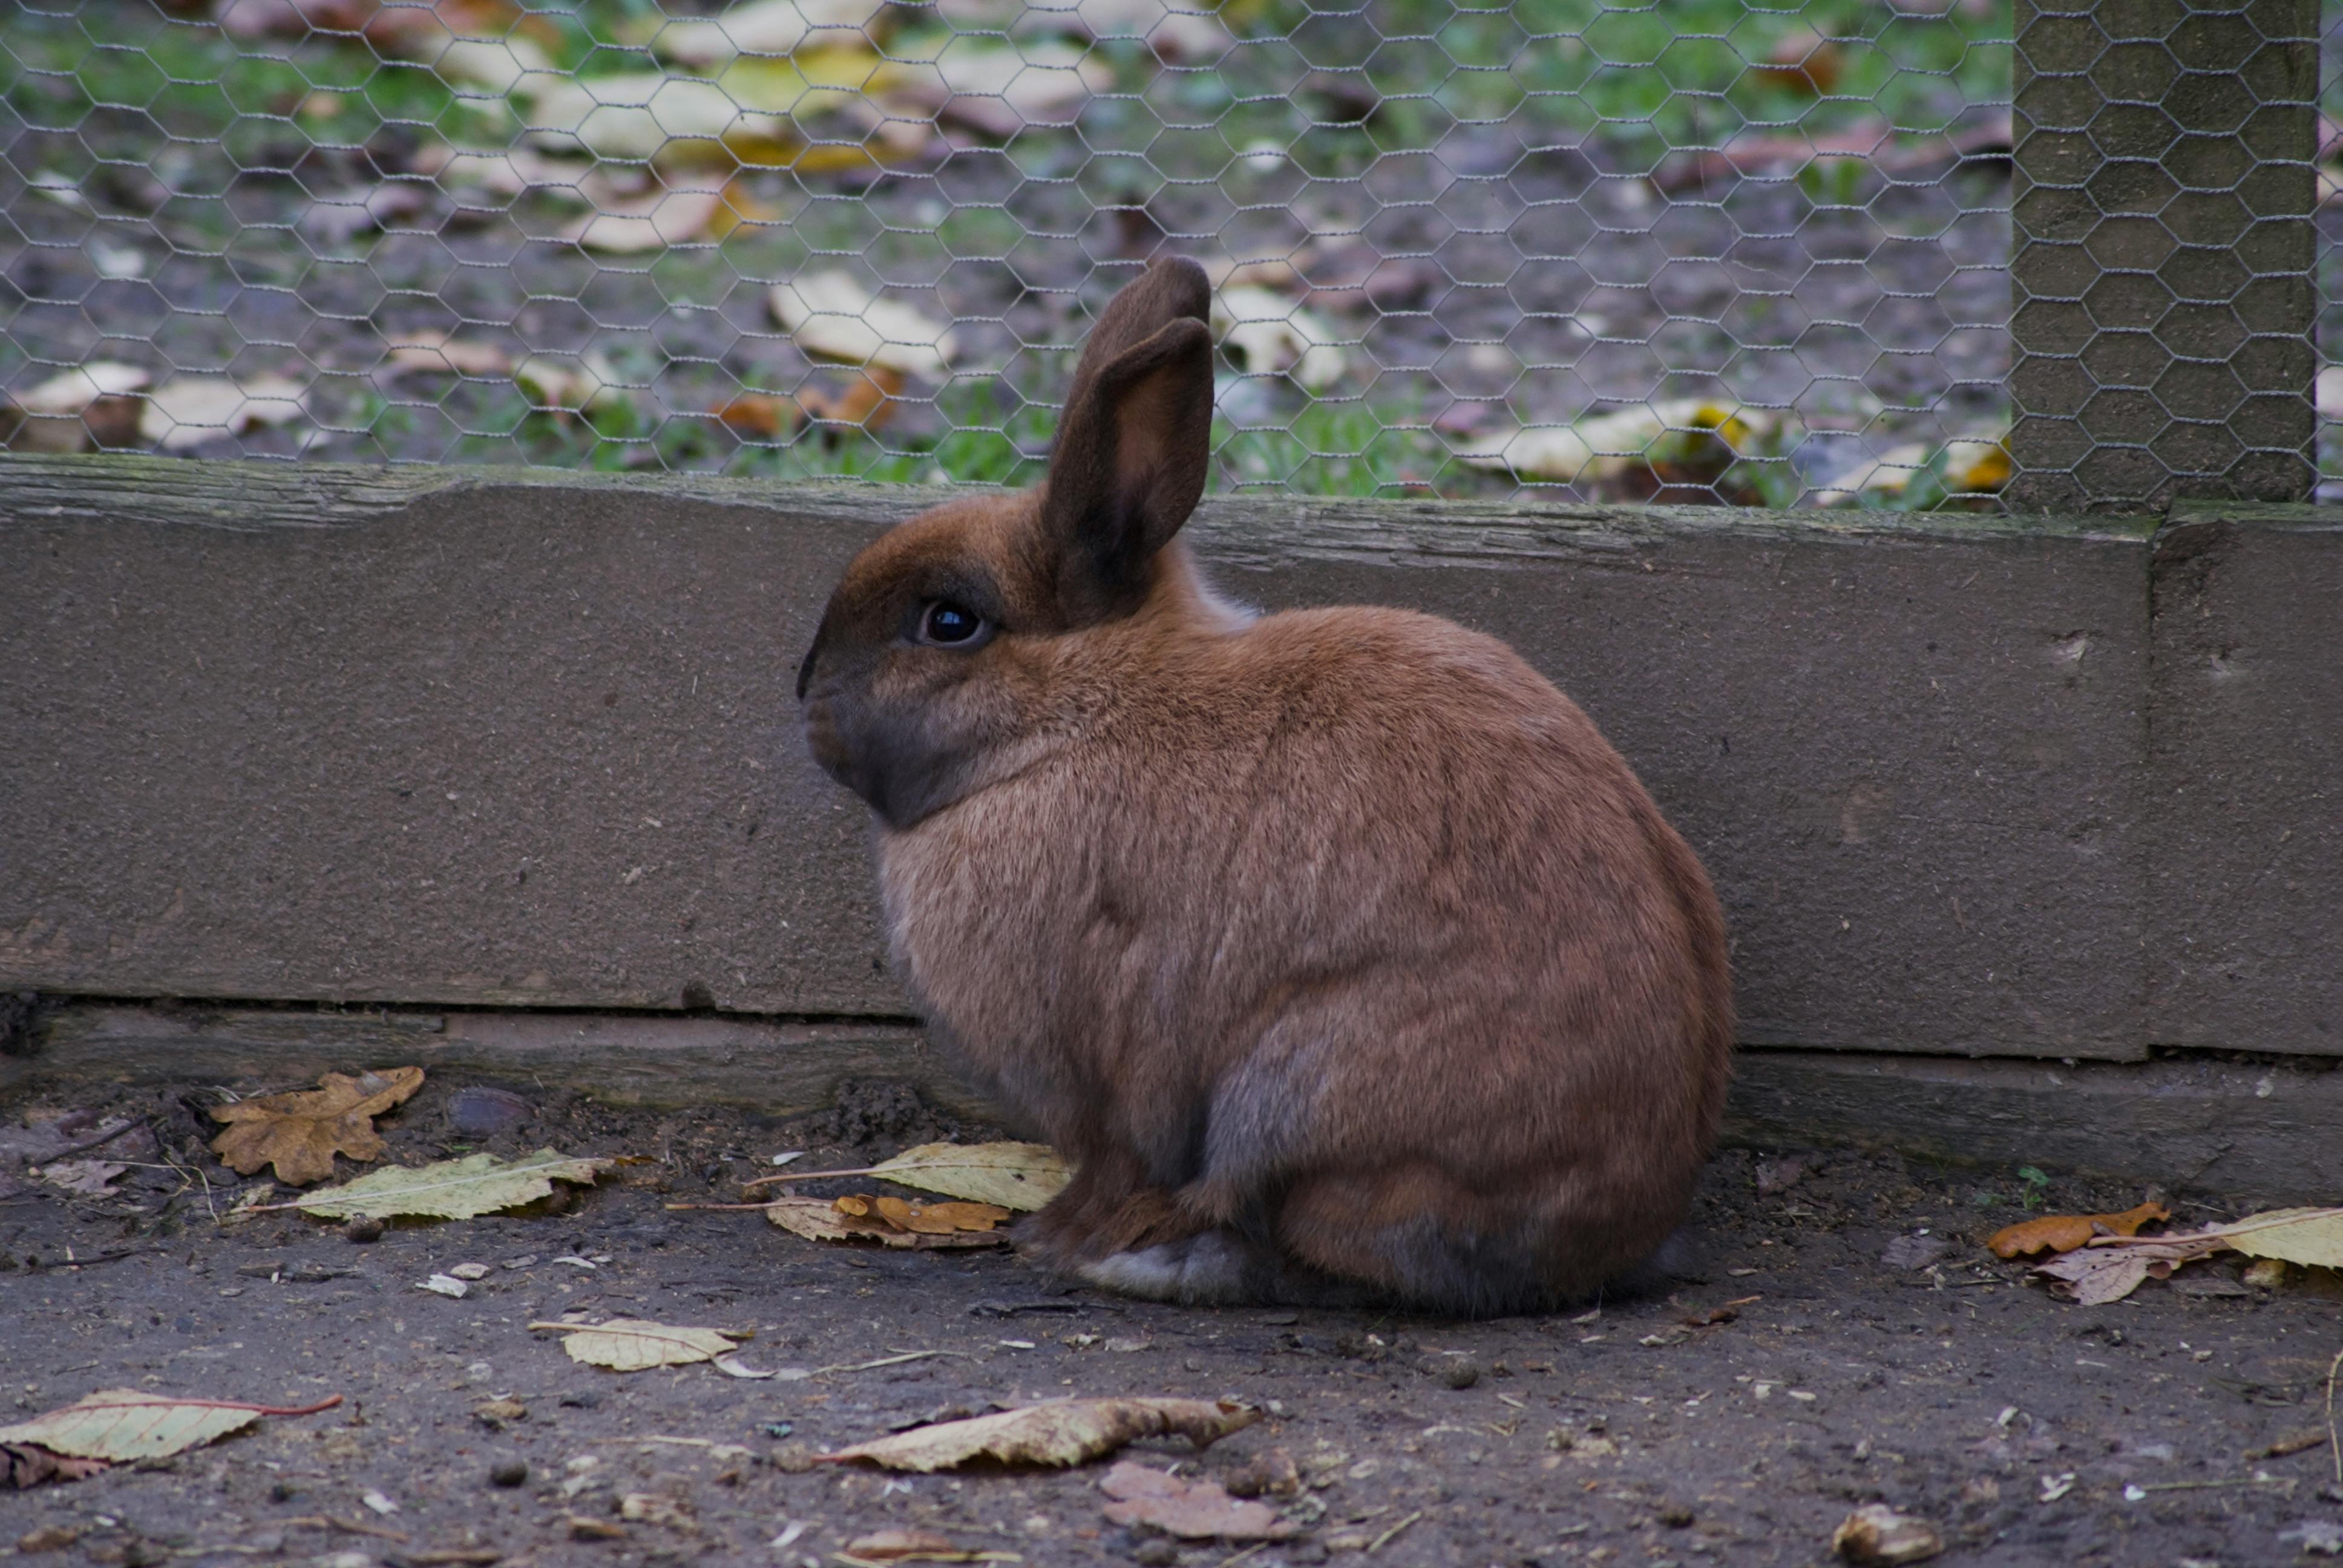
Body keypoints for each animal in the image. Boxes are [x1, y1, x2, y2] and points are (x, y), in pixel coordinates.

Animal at [796, 255, 1733, 1315]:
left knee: (1303, 1240)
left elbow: (1118, 1161)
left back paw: (1152, 1265)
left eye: (948, 623)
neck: (1074, 715)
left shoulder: (1109, 1075)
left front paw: (1053, 1242)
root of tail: (1618, 1235)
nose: (804, 691)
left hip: (1291, 1093)